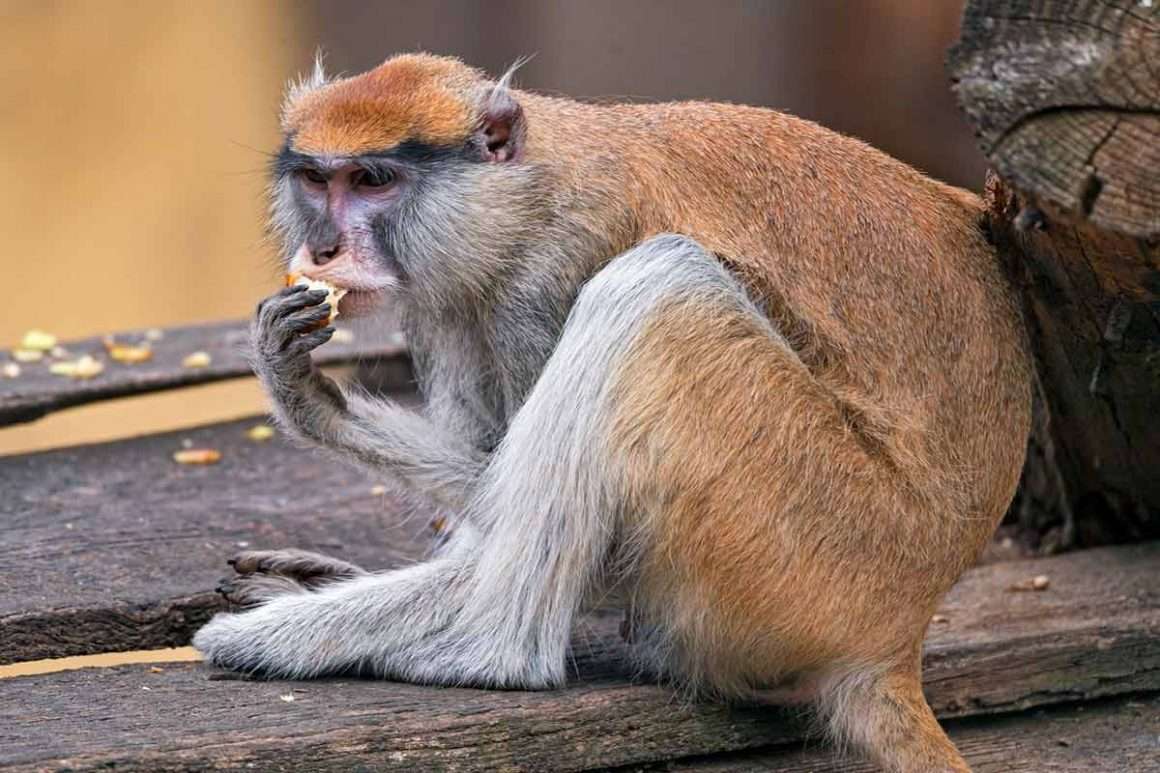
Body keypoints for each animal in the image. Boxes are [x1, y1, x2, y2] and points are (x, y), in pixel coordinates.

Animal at [192, 53, 1031, 772]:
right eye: (315, 179)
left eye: (371, 180)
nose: (324, 248)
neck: (523, 191)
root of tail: (897, 633)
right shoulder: (450, 299)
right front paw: (302, 390)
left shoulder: (549, 273)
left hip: (822, 533)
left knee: (658, 284)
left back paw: (486, 649)